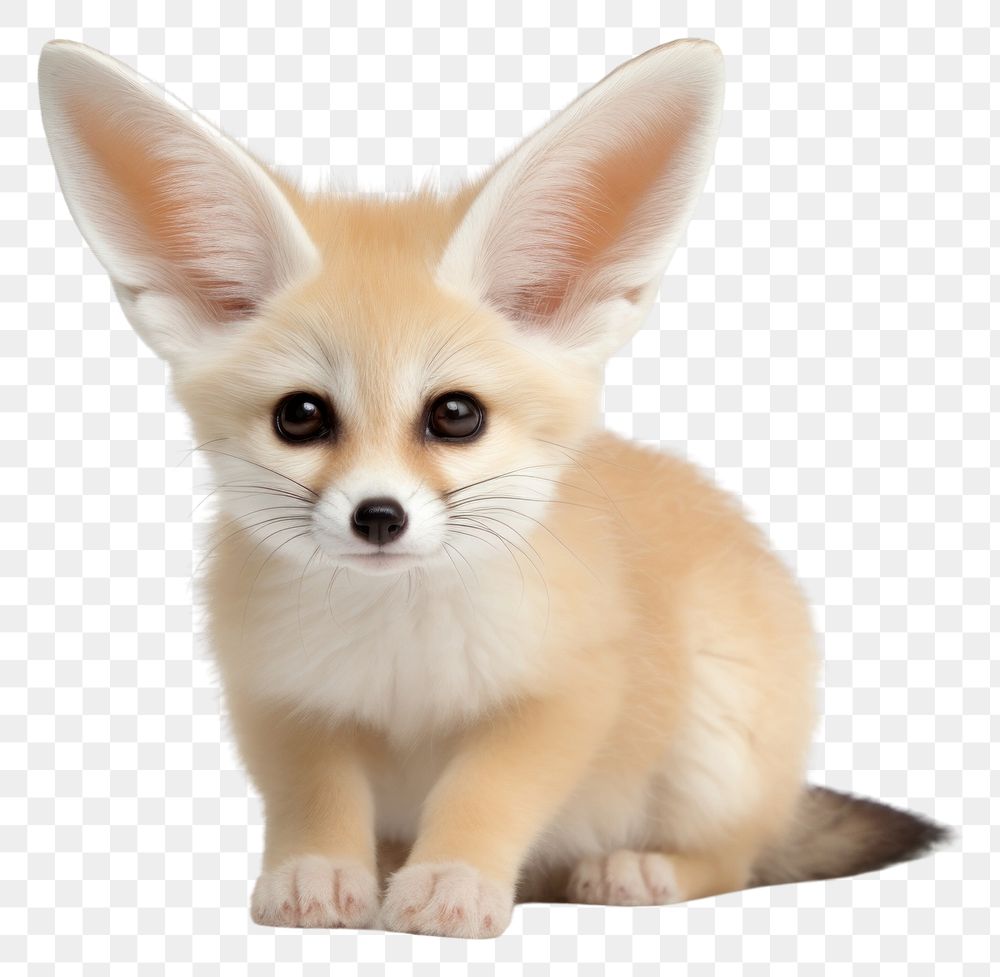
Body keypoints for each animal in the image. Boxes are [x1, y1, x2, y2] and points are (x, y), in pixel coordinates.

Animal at [37, 38, 946, 938]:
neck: (400, 650)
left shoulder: (564, 693)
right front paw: (319, 872)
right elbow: (316, 799)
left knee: (734, 859)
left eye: (455, 415)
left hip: (714, 747)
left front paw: (453, 877)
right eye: (300, 416)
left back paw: (636, 868)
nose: (378, 516)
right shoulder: (284, 697)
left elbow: (485, 794)